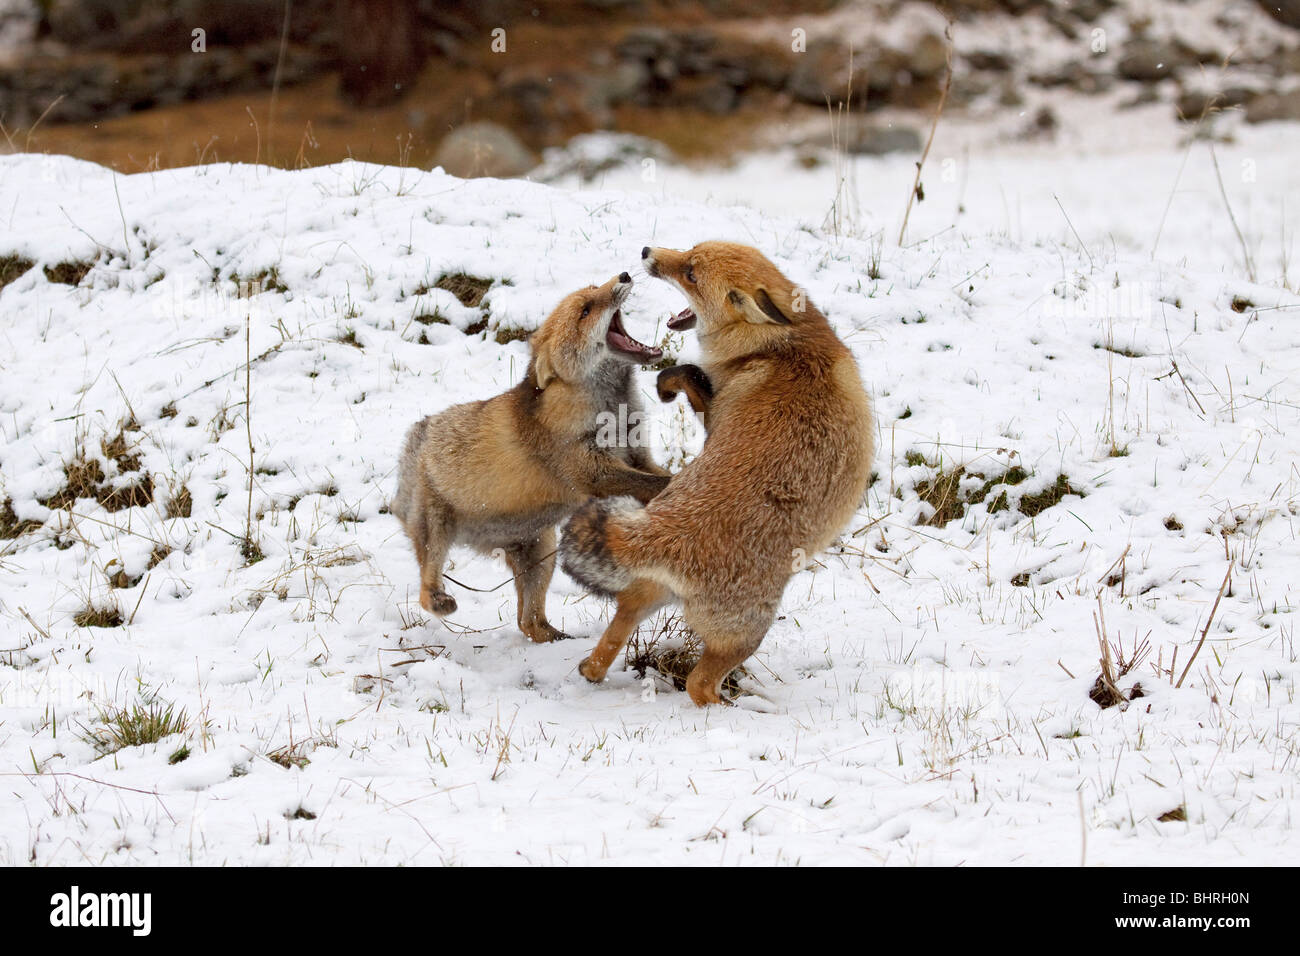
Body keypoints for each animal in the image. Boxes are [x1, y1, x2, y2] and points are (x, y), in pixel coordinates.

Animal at [392, 272, 670, 644]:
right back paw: (439, 600)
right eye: (586, 310)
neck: (615, 413)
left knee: (529, 622)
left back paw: (558, 641)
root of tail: (418, 434)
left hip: (541, 554)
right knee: (427, 586)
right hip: (437, 533)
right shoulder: (589, 470)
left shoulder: (637, 455)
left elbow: (657, 475)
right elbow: (651, 482)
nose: (624, 275)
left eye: (594, 289)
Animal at [560, 242, 874, 704]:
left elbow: (685, 372)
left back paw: (593, 670)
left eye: (690, 270)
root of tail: (664, 532)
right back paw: (744, 709)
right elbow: (689, 373)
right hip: (746, 633)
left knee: (622, 618)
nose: (647, 251)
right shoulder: (714, 416)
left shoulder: (717, 417)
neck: (776, 348)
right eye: (687, 258)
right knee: (699, 685)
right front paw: (668, 385)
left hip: (654, 594)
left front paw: (666, 384)